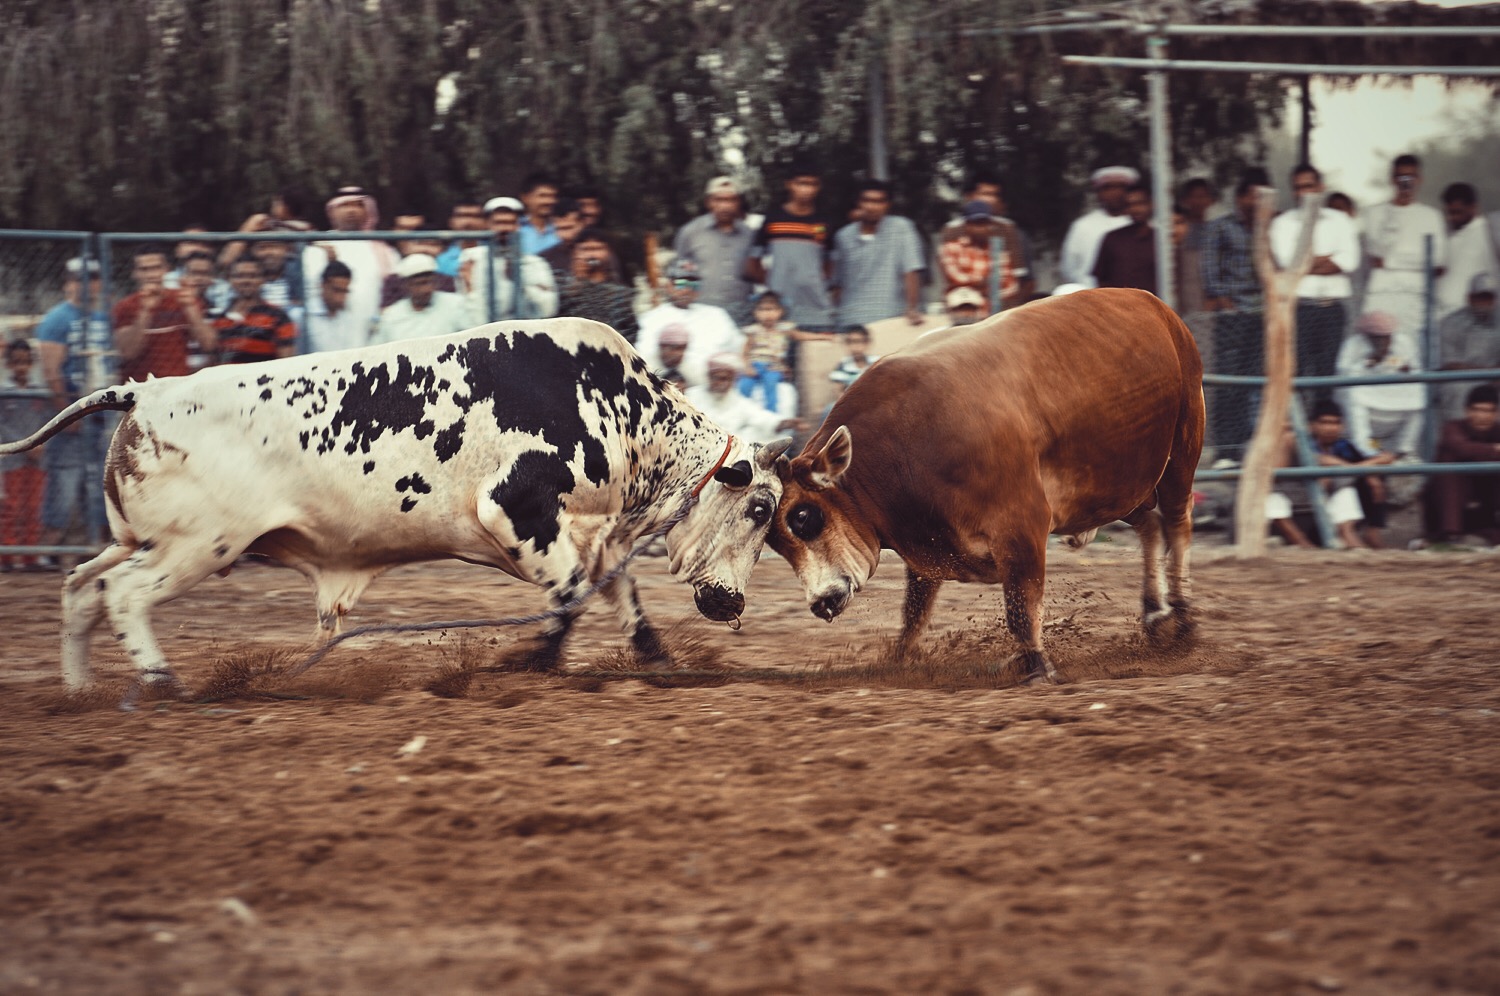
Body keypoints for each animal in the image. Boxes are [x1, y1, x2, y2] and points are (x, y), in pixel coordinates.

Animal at [0, 318, 791, 691]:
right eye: (760, 509)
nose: (730, 603)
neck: (614, 409)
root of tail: (146, 391)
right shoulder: (517, 511)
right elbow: (569, 594)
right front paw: (526, 662)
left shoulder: (589, 531)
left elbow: (615, 591)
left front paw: (655, 657)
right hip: (197, 546)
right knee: (123, 596)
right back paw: (162, 683)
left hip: (137, 539)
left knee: (81, 590)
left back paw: (79, 691)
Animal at [767, 288, 1205, 684]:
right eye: (772, 539)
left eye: (804, 517)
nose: (820, 603)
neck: (908, 442)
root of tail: (1158, 308)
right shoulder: (928, 549)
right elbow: (914, 615)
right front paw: (899, 660)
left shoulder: (1022, 528)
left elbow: (1020, 610)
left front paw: (1039, 668)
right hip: (1122, 488)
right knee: (1150, 528)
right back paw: (1154, 615)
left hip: (1180, 456)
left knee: (1177, 526)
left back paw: (1183, 618)